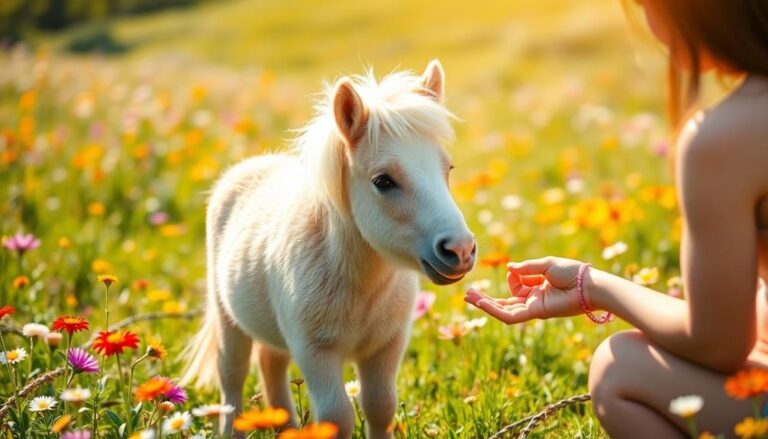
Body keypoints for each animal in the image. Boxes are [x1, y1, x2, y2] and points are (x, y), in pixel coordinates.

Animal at [180, 60, 476, 438]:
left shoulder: (386, 346)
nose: (461, 250)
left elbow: (381, 406)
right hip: (228, 320)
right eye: (383, 181)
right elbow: (337, 416)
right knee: (232, 379)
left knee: (271, 364)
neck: (358, 283)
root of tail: (248, 167)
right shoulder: (315, 352)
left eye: (448, 168)